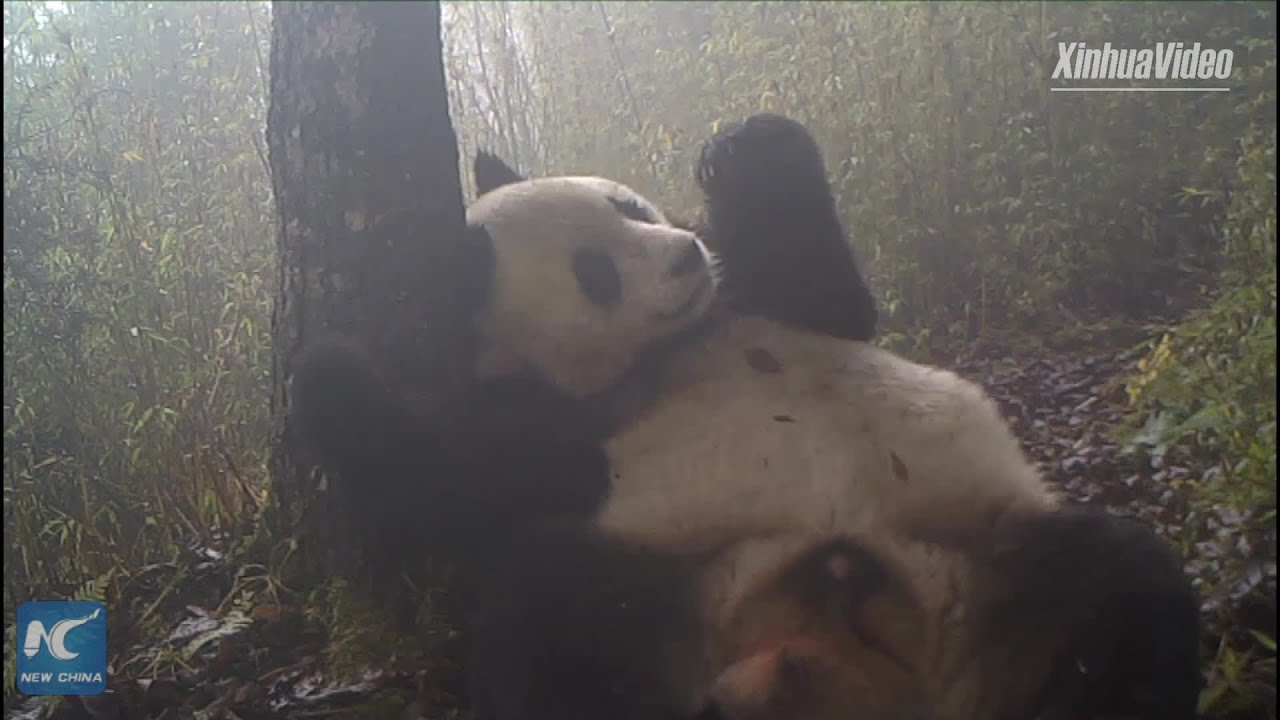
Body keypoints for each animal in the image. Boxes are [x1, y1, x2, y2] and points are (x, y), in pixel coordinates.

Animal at [291, 114, 1201, 720]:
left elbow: (832, 297)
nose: (686, 257)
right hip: (674, 586)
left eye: (630, 207)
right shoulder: (540, 410)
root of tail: (823, 657)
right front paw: (325, 373)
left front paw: (742, 152)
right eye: (594, 273)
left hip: (981, 561)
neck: (682, 339)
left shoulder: (758, 299)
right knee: (544, 617)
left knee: (1120, 595)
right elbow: (454, 486)